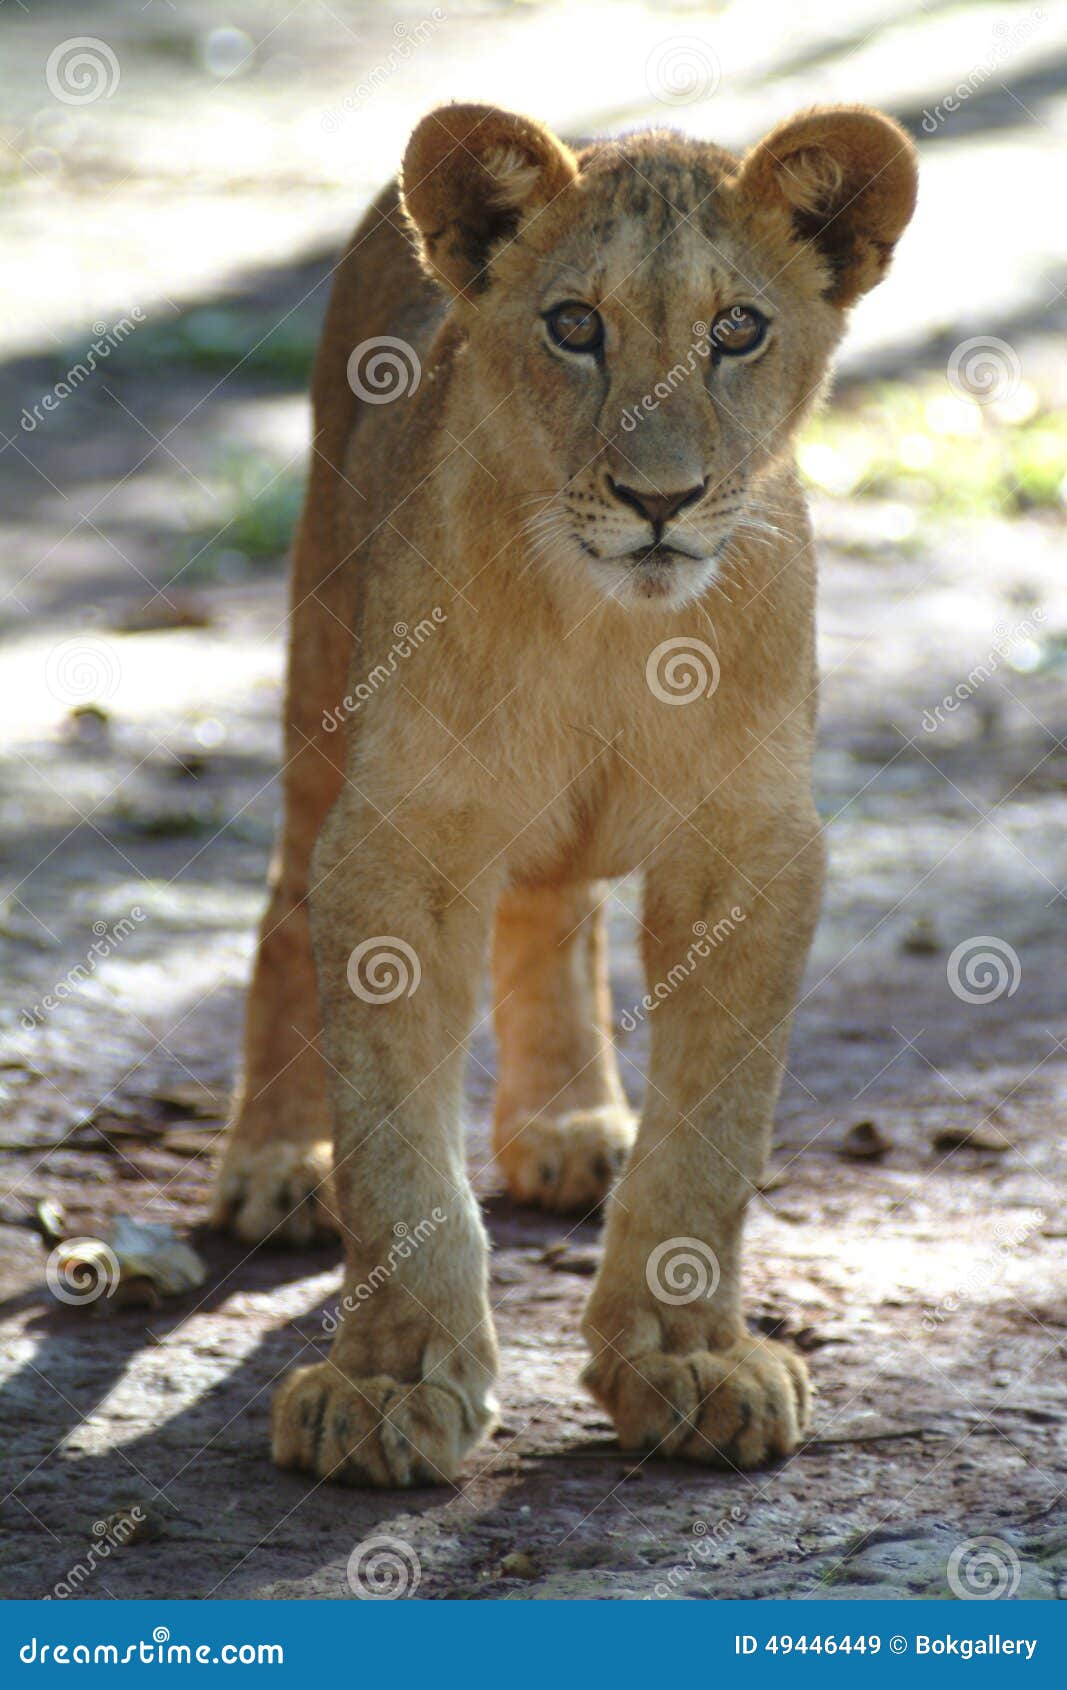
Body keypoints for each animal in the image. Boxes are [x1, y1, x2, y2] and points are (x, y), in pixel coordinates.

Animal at [213, 102, 917, 1485]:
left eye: (735, 329)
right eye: (573, 326)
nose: (659, 498)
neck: (606, 632)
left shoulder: (752, 845)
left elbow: (711, 1134)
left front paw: (690, 1360)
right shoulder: (401, 838)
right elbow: (392, 1142)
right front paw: (387, 1385)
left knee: (554, 908)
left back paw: (572, 1125)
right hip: (321, 640)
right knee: (279, 900)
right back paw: (272, 1158)